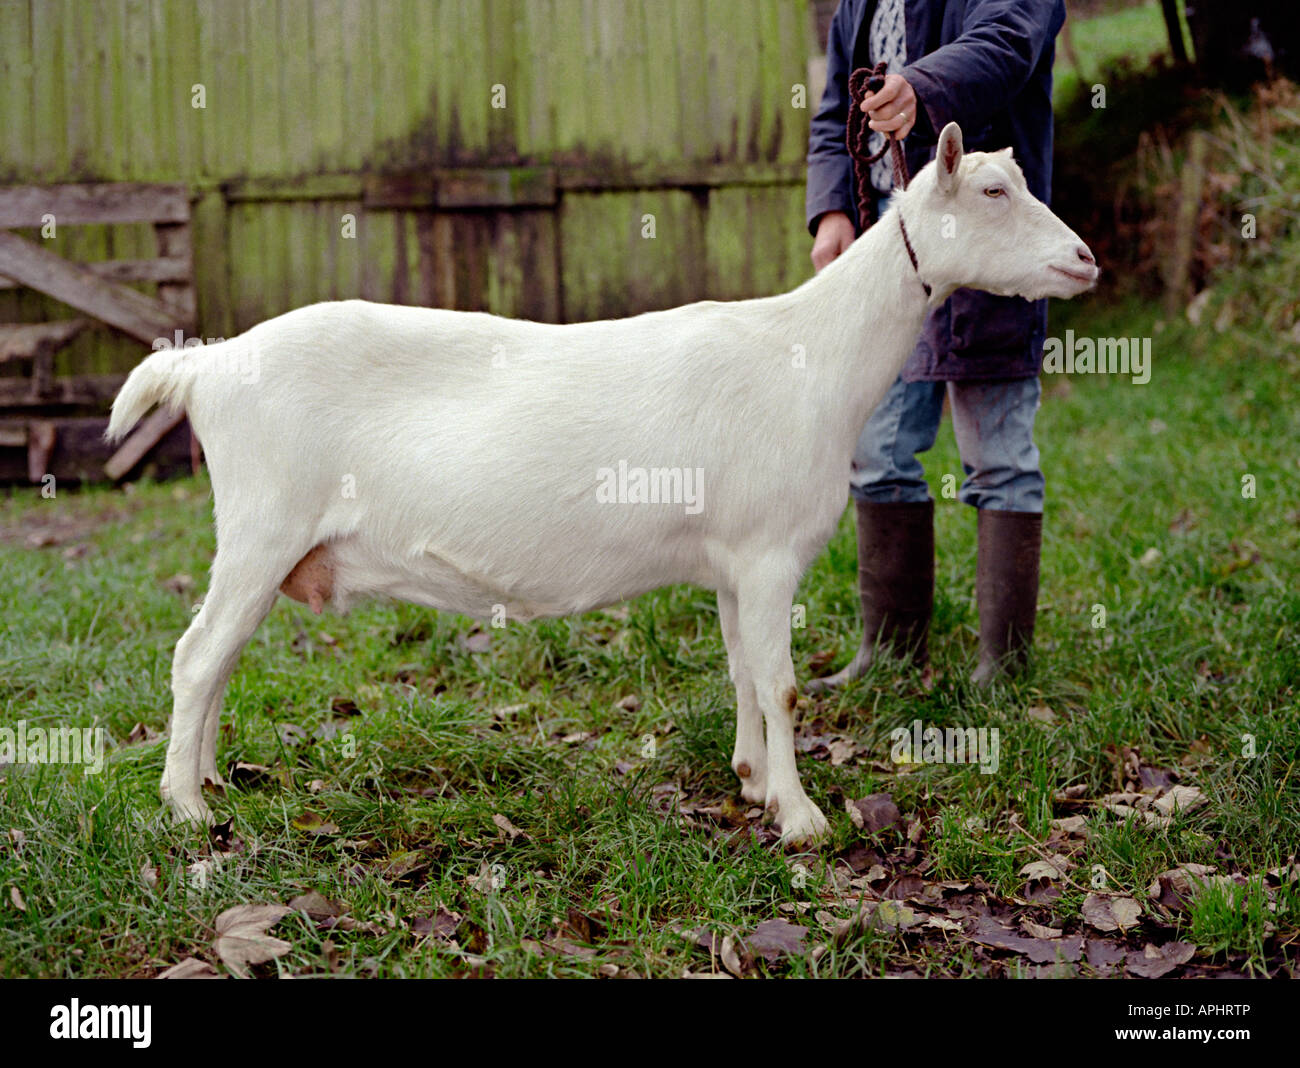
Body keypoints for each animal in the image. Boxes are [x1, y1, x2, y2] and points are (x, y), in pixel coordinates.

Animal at [108, 124, 1097, 845]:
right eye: (994, 192)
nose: (1085, 260)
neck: (809, 353)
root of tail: (208, 365)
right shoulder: (770, 554)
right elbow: (781, 684)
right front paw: (804, 818)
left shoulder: (733, 562)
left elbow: (744, 674)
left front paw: (752, 784)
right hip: (264, 524)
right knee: (197, 655)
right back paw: (186, 808)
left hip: (266, 542)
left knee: (219, 656)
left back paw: (205, 776)